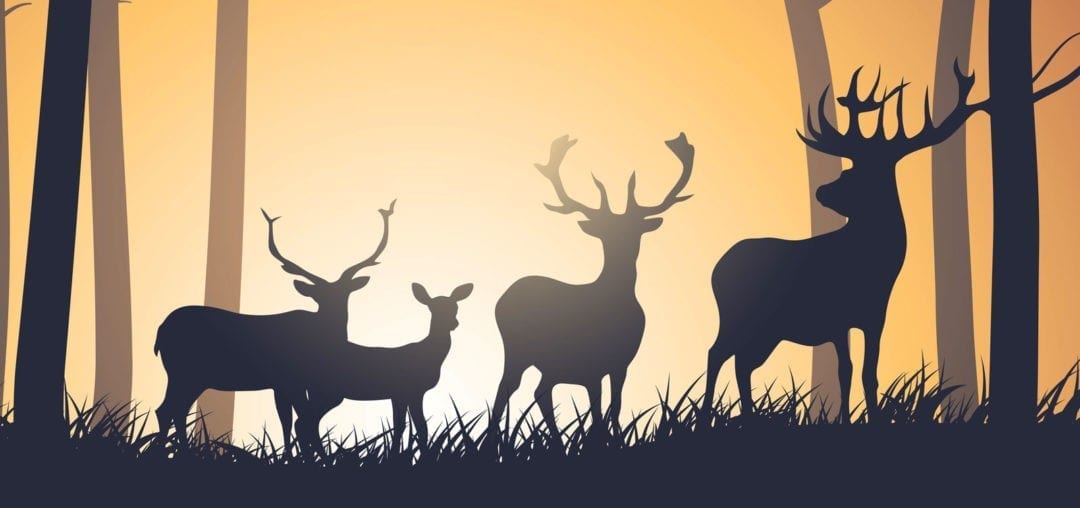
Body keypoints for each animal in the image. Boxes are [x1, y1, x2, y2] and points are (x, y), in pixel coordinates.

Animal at [154, 200, 395, 451]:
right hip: (183, 370)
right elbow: (299, 419)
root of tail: (160, 330)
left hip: (192, 377)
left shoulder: (285, 384)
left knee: (173, 410)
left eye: (344, 294)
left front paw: (291, 455)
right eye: (318, 296)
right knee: (167, 409)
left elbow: (287, 421)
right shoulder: (291, 380)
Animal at [292, 283, 474, 456]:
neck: (429, 355)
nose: (453, 323)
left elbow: (400, 426)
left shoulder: (399, 395)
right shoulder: (413, 391)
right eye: (432, 308)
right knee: (303, 422)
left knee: (307, 423)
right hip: (328, 392)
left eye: (455, 307)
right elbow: (420, 426)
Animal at [489, 133, 694, 442]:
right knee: (506, 388)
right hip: (516, 350)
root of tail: (502, 298)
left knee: (540, 391)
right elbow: (596, 411)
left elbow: (615, 405)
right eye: (605, 233)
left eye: (635, 230)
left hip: (551, 363)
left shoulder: (621, 363)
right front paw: (597, 440)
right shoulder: (591, 365)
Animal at [704, 65, 991, 423]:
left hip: (768, 331)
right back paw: (706, 416)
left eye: (856, 175)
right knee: (717, 352)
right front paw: (848, 418)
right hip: (737, 316)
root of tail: (717, 268)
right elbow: (847, 370)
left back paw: (748, 416)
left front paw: (866, 417)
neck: (876, 265)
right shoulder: (838, 316)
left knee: (742, 362)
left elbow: (866, 372)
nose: (821, 191)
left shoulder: (875, 316)